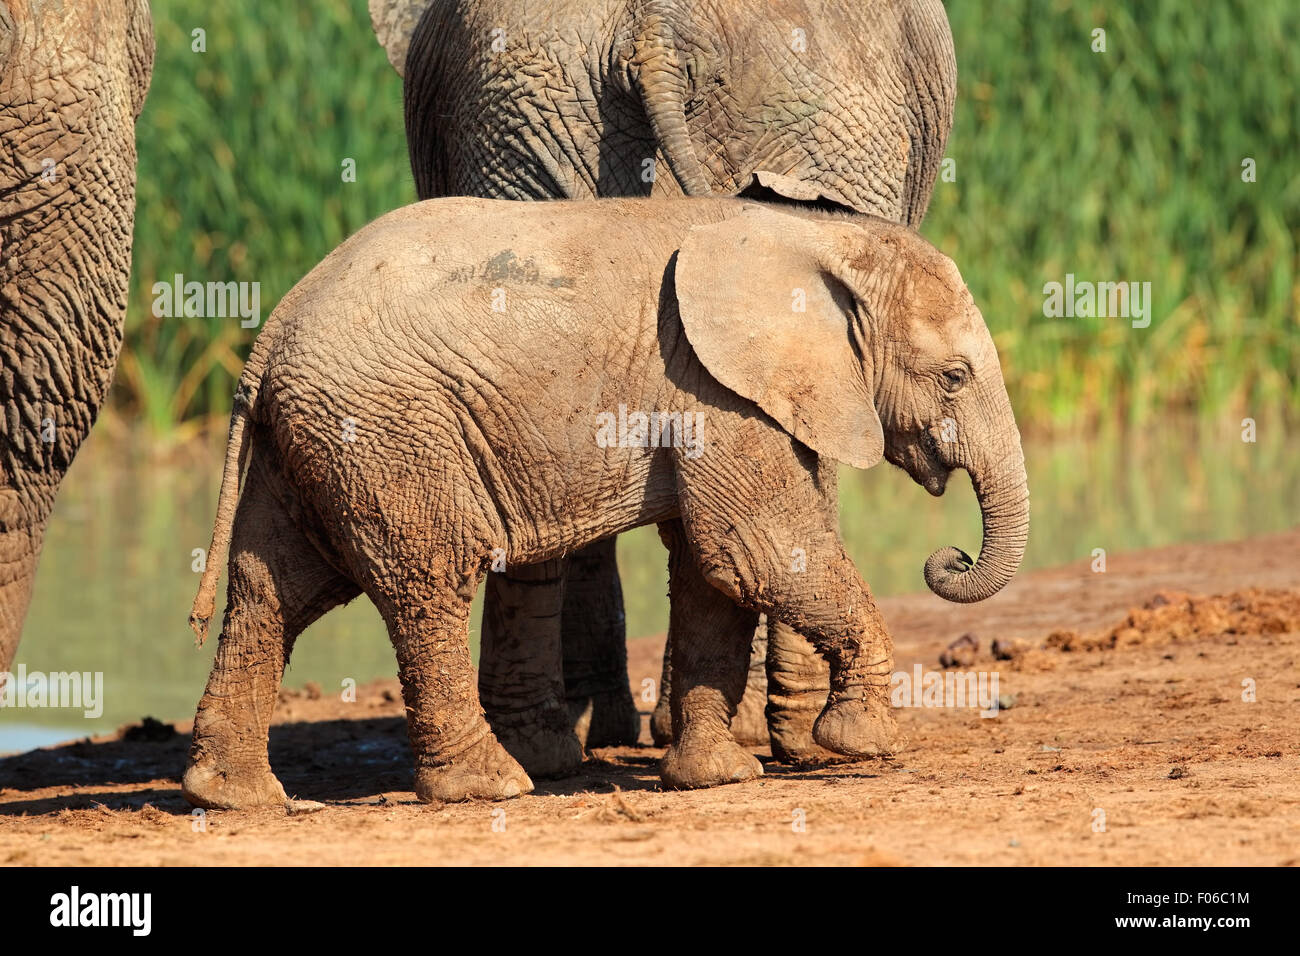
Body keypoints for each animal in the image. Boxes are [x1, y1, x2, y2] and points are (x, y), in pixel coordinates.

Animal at [181, 193, 1029, 808]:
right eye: (954, 377)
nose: (948, 555)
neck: (818, 237)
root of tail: (267, 336)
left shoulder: (714, 395)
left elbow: (712, 572)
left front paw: (717, 778)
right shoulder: (717, 391)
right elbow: (754, 552)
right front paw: (863, 743)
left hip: (313, 442)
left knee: (272, 594)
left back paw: (233, 798)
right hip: (387, 430)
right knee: (428, 584)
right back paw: (492, 787)